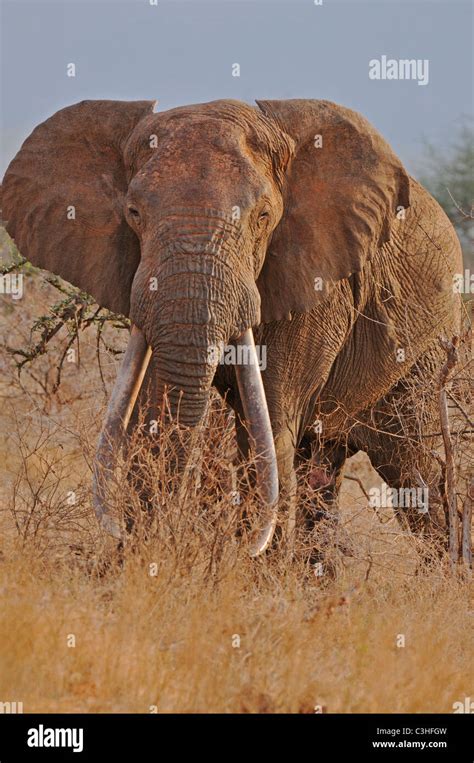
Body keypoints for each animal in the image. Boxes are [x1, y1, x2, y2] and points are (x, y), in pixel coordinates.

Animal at [2, 98, 463, 558]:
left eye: (263, 216)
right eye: (133, 213)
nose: (127, 539)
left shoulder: (317, 284)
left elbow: (269, 427)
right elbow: (156, 409)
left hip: (425, 356)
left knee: (416, 472)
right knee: (323, 471)